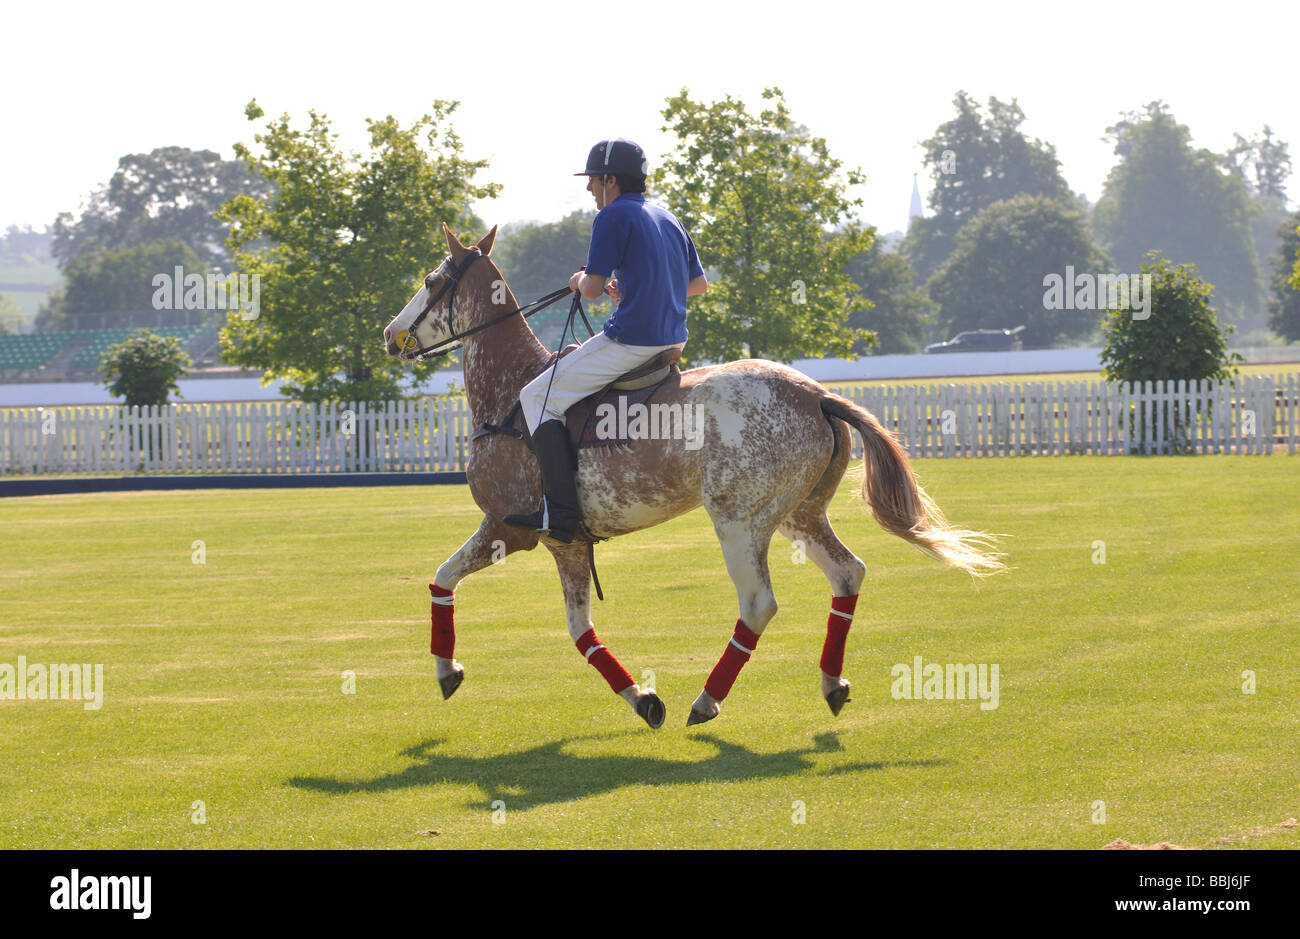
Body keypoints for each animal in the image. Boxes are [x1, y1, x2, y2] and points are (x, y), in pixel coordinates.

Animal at [383, 223, 1004, 728]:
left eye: (431, 278)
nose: (391, 335)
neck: (511, 393)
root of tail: (818, 396)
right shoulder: (567, 543)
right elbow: (581, 632)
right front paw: (642, 700)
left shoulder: (509, 528)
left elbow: (441, 578)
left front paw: (446, 671)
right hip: (798, 514)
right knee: (848, 572)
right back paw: (831, 684)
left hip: (738, 520)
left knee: (759, 603)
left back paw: (707, 701)